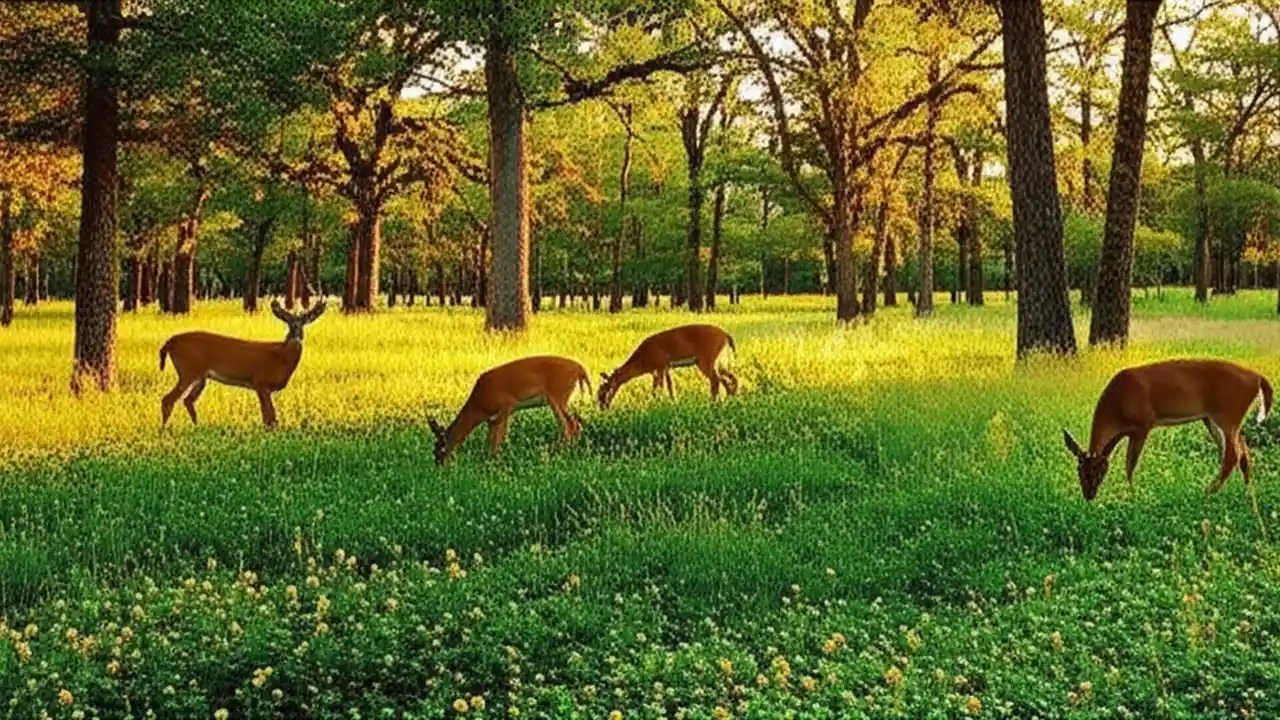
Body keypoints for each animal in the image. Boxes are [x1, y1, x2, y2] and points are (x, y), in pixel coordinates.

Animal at [159, 298, 327, 428]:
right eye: (288, 322)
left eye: (304, 322)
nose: (296, 335)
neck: (281, 357)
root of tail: (169, 342)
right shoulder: (261, 382)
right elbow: (270, 417)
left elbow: (269, 417)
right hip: (187, 371)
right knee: (168, 399)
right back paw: (164, 430)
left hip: (201, 377)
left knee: (187, 401)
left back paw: (196, 426)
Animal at [428, 355, 592, 465]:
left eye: (440, 449)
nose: (439, 467)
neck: (479, 404)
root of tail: (580, 369)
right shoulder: (495, 416)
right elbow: (493, 435)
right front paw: (488, 458)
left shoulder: (507, 404)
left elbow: (501, 435)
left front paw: (495, 460)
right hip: (562, 398)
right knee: (575, 423)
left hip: (557, 396)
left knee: (568, 426)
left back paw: (559, 454)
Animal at [597, 324, 738, 409]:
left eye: (604, 390)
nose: (603, 407)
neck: (643, 360)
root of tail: (726, 335)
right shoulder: (664, 368)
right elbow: (669, 388)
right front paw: (672, 402)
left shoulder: (660, 366)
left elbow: (657, 390)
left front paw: (659, 404)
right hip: (718, 362)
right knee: (731, 379)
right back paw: (729, 399)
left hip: (706, 360)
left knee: (717, 380)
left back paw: (714, 402)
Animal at [1063, 359, 1273, 501]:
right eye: (1079, 470)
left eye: (1102, 470)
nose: (1089, 495)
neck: (1117, 406)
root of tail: (1258, 377)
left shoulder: (1143, 424)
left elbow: (1130, 464)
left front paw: (1132, 493)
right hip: (1213, 419)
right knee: (1240, 450)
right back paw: (1243, 489)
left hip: (1229, 414)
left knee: (1232, 454)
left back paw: (1208, 491)